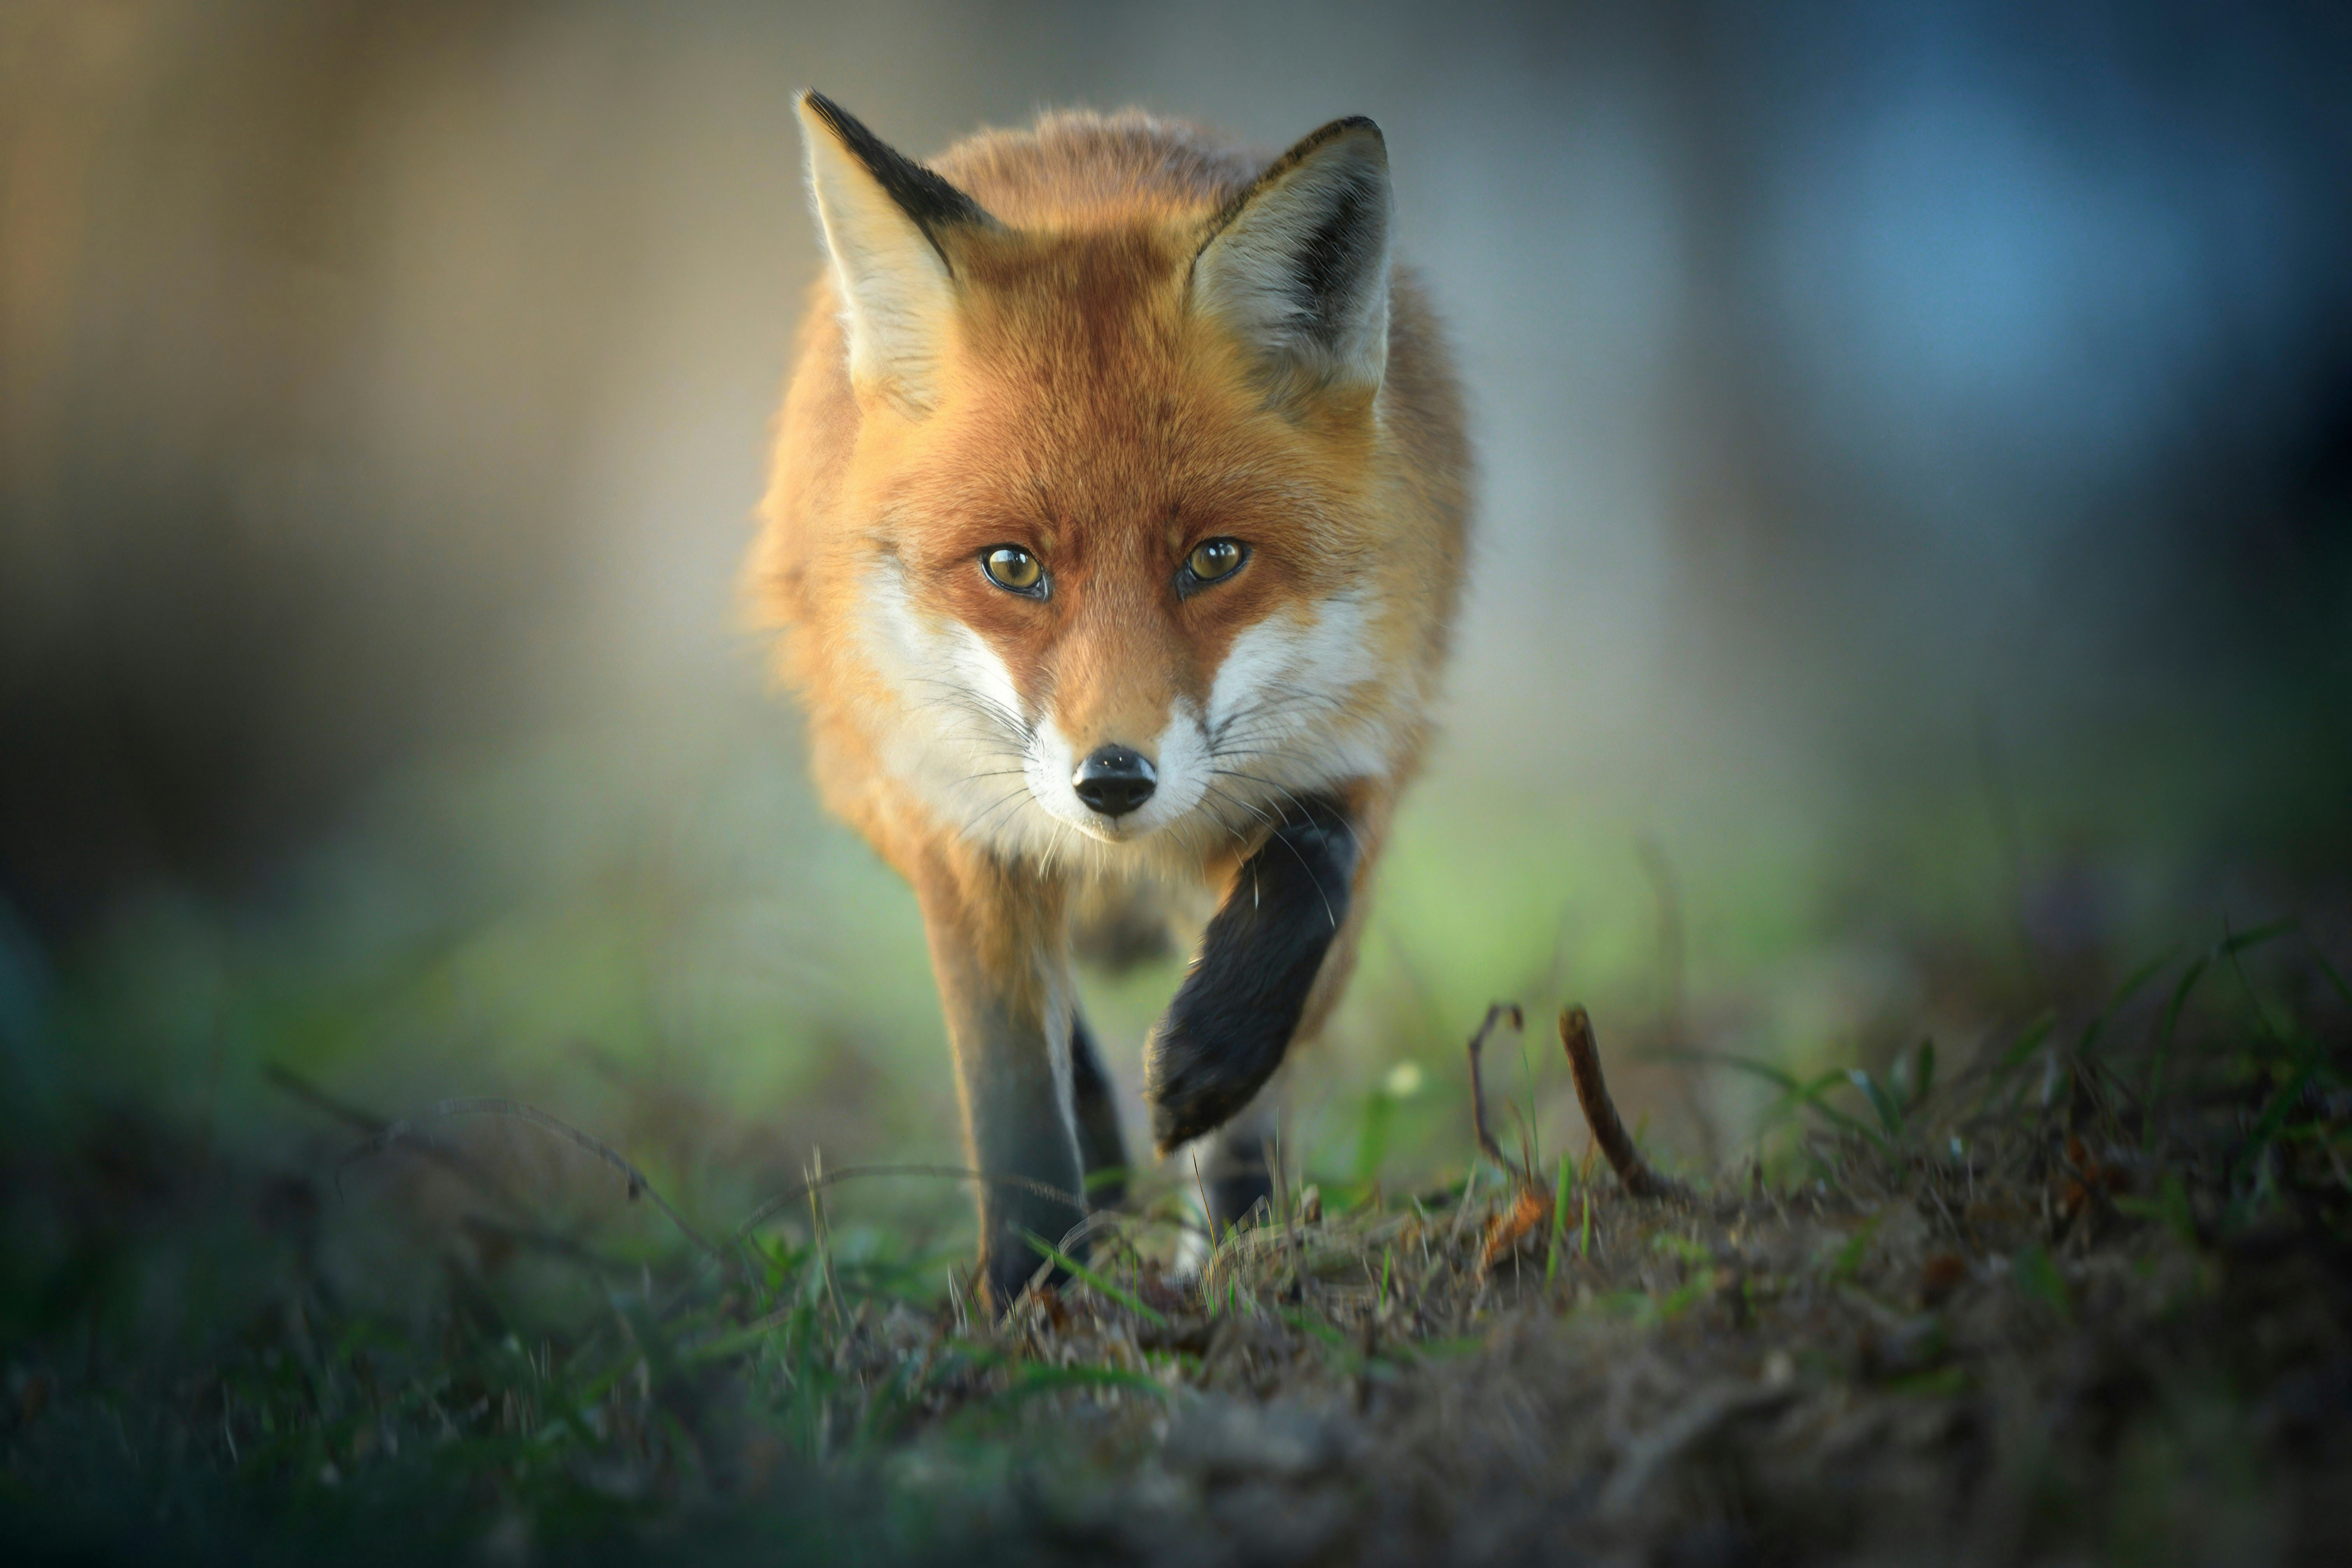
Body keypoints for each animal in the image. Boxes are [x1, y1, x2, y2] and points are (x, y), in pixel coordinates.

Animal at [750, 92, 1470, 1309]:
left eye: (1214, 559)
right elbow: (1010, 1094)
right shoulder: (952, 821)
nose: (1114, 784)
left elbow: (1311, 875)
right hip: (867, 772)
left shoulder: (1368, 742)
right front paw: (1030, 1291)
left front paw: (1216, 1088)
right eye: (1012, 567)